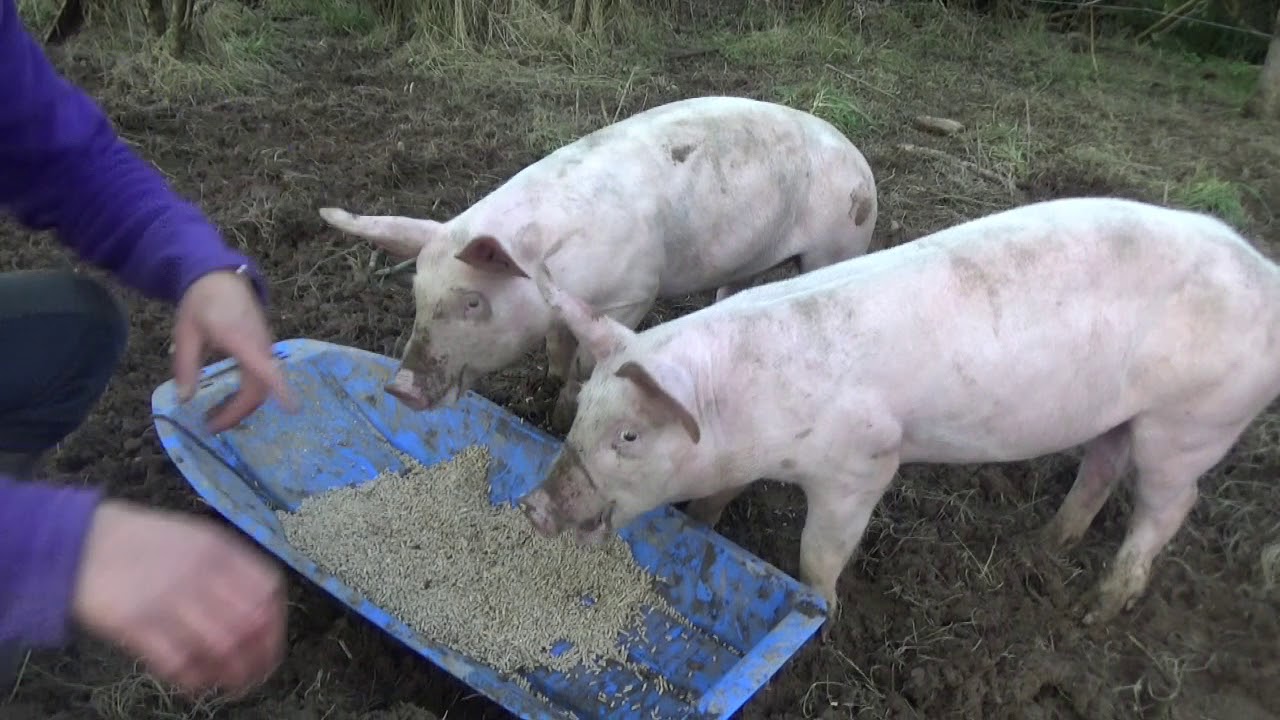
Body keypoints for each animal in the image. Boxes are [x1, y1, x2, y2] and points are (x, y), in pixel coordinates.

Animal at [316, 95, 878, 432]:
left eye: (474, 302)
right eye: (416, 295)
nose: (399, 387)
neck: (550, 266)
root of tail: (859, 158)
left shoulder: (634, 294)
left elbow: (587, 362)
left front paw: (565, 408)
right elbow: (557, 345)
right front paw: (550, 378)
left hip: (840, 242)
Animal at [516, 196, 1280, 636]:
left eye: (629, 435)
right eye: (582, 412)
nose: (533, 507)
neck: (741, 411)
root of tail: (1266, 275)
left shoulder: (864, 463)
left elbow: (818, 552)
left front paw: (825, 615)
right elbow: (715, 500)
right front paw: (705, 524)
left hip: (1191, 422)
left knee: (1170, 505)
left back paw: (1096, 607)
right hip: (1125, 416)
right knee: (1102, 464)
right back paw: (1046, 543)